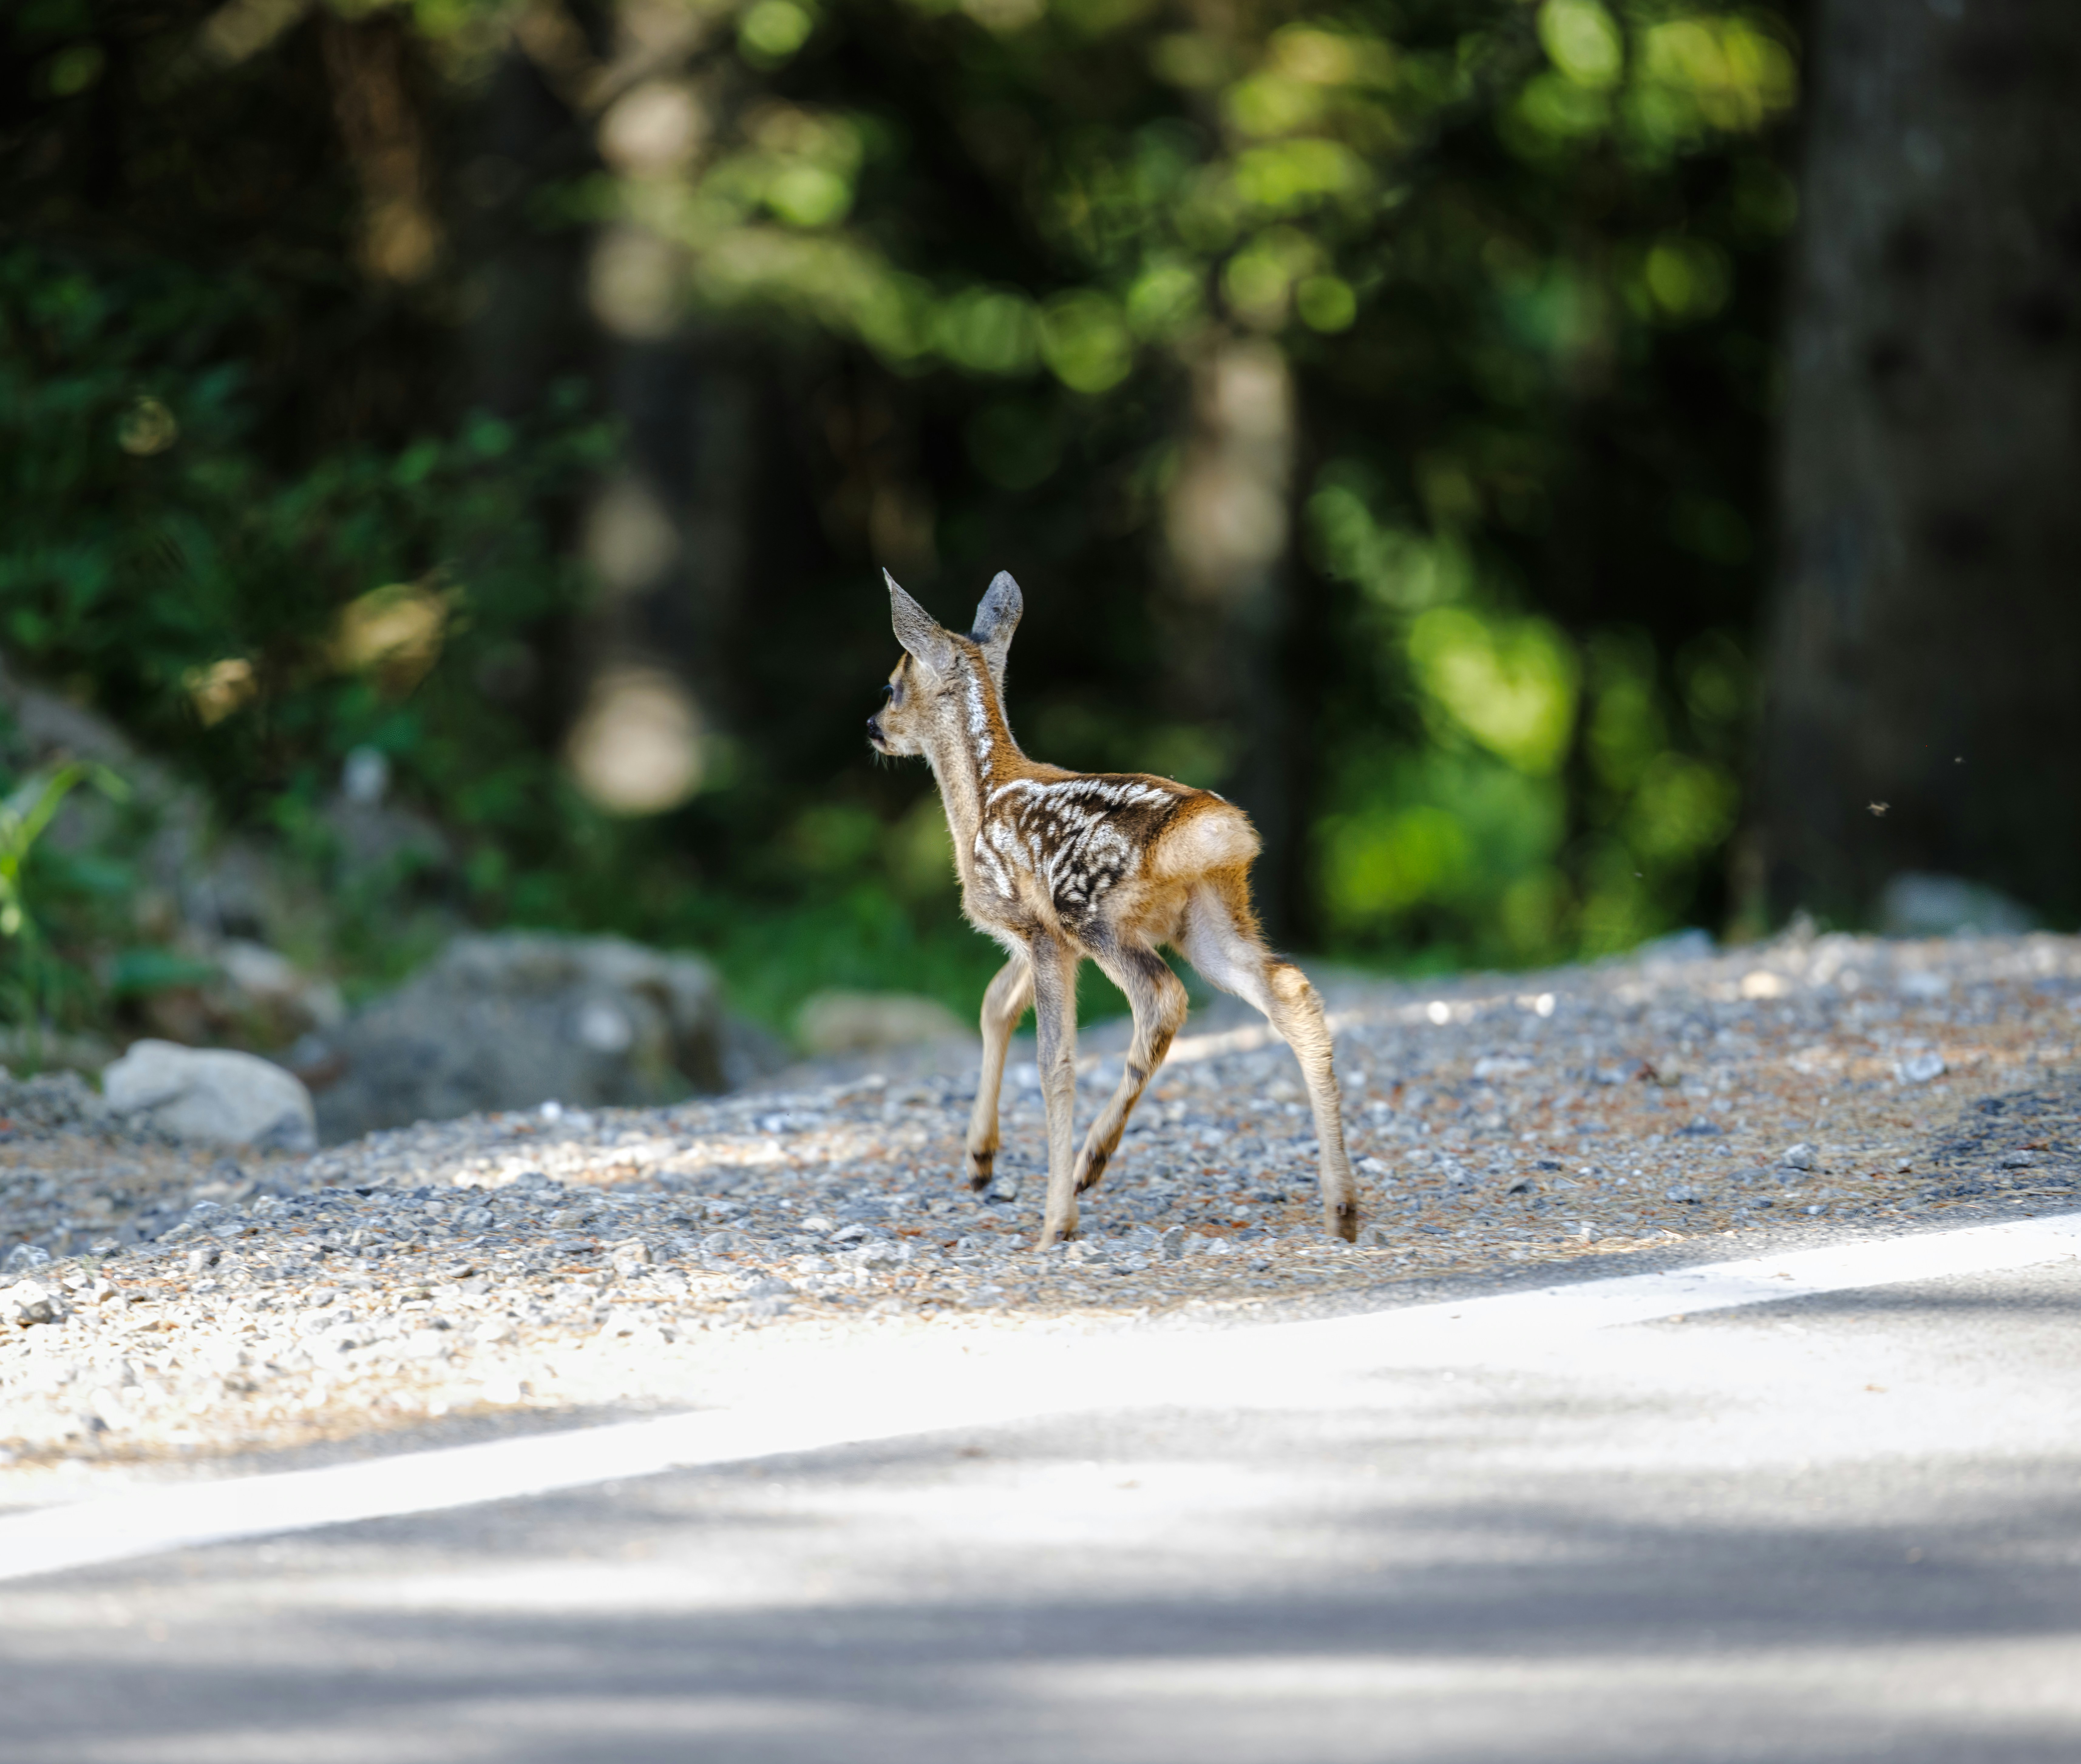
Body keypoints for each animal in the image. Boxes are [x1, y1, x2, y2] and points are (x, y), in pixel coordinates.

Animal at [865, 567, 1360, 1250]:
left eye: (891, 685)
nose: (871, 726)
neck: (979, 800)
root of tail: (1212, 830)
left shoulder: (1040, 927)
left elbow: (1053, 1058)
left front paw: (1053, 1221)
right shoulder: (1042, 935)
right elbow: (995, 1004)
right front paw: (979, 1159)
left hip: (1096, 913)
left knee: (1162, 997)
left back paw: (1086, 1168)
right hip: (1208, 921)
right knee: (1291, 991)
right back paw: (1342, 1208)